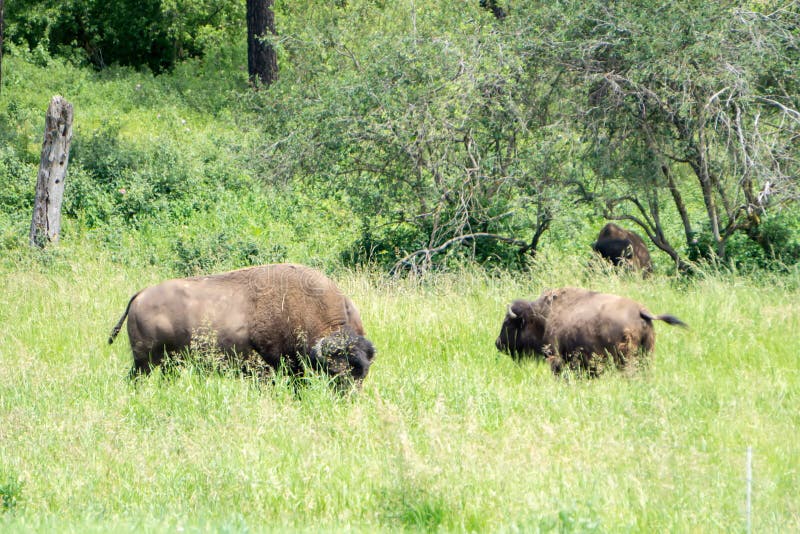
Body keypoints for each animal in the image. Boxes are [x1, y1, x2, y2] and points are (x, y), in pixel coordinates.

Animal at [109, 263, 376, 387]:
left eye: (363, 372)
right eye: (334, 371)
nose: (348, 397)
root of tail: (141, 294)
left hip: (167, 363)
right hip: (144, 361)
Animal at [495, 287, 686, 377]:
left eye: (508, 323)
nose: (498, 343)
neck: (543, 317)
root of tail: (641, 311)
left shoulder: (557, 359)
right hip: (646, 354)